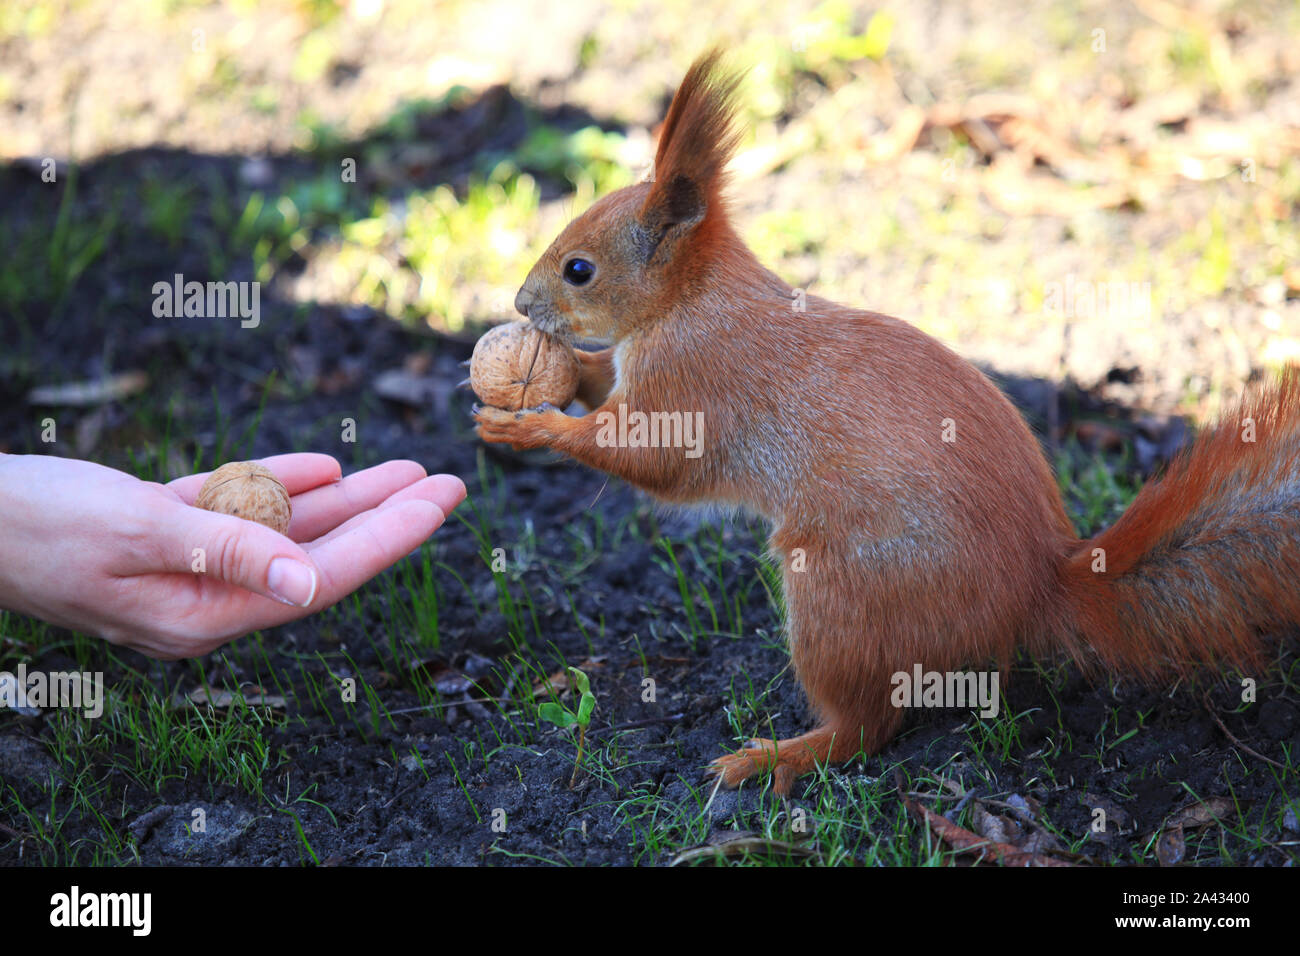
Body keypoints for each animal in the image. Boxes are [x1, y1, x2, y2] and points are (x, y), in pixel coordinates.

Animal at [474, 49, 1300, 794]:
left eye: (580, 269)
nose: (519, 303)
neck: (692, 299)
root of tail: (1035, 589)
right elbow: (601, 382)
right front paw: (548, 380)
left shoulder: (695, 387)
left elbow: (650, 461)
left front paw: (530, 428)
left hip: (841, 595)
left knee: (868, 725)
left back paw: (776, 757)